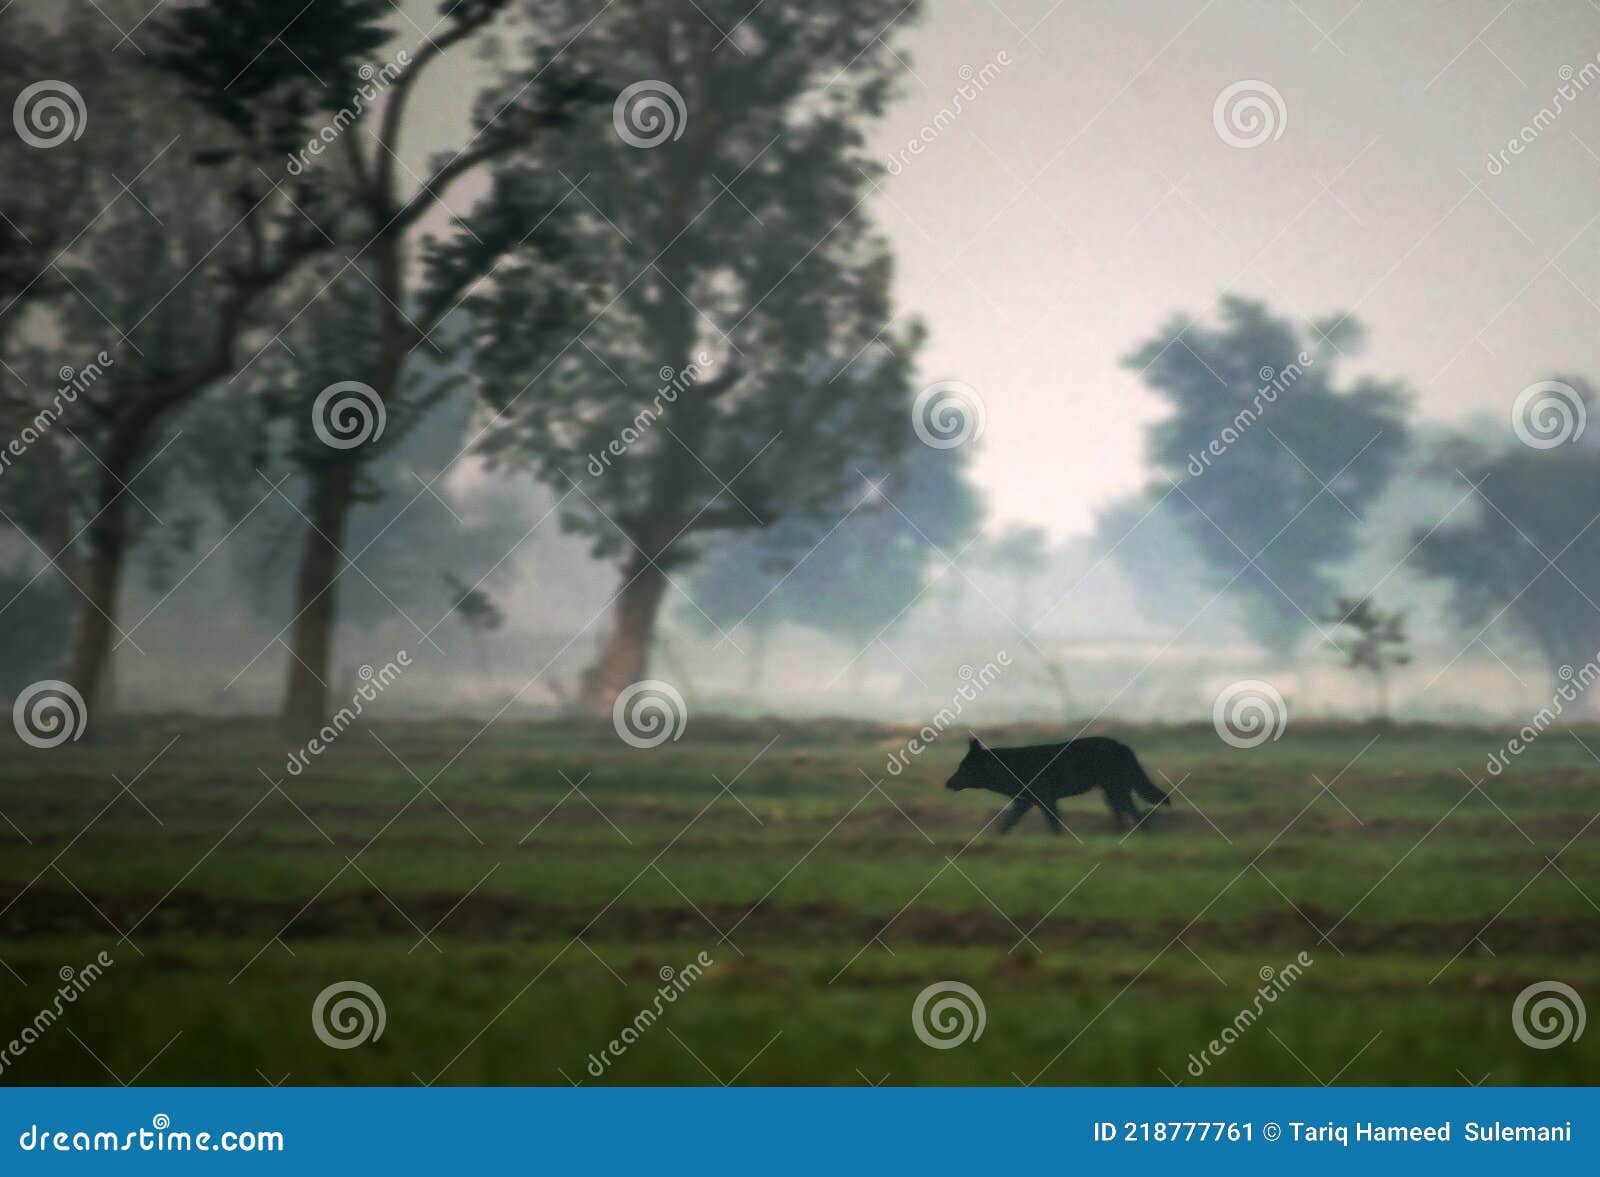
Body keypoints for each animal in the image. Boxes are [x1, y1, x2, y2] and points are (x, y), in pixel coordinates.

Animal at [944, 735, 1171, 832]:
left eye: (965, 767)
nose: (947, 783)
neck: (1009, 767)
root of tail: (1121, 745)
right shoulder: (1025, 803)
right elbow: (1008, 823)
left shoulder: (1045, 800)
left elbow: (1053, 823)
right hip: (1111, 793)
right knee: (1122, 812)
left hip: (1117, 790)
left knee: (1134, 812)